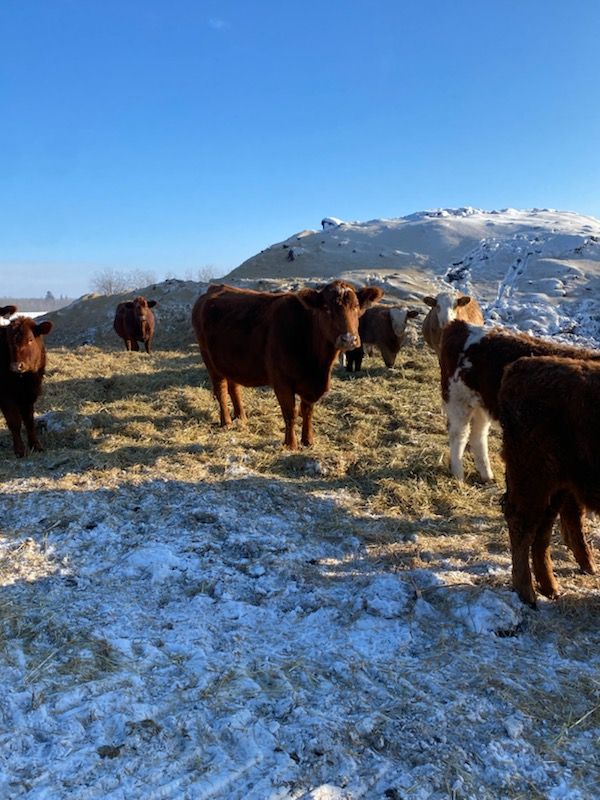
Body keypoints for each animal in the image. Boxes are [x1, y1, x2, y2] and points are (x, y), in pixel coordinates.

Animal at [0, 316, 53, 457]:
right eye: (8, 342)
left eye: (30, 339)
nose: (16, 366)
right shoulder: (6, 397)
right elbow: (15, 423)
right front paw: (19, 450)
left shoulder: (29, 395)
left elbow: (29, 421)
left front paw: (36, 445)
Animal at [192, 280, 383, 449]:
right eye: (326, 308)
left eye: (356, 306)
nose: (349, 339)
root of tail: (215, 288)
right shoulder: (282, 382)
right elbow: (290, 413)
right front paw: (291, 444)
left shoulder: (311, 386)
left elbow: (307, 411)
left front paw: (308, 440)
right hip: (209, 360)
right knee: (221, 390)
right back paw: (226, 422)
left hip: (231, 363)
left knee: (234, 387)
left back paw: (241, 416)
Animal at [439, 321, 600, 483]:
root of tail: (461, 325)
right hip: (458, 399)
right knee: (459, 434)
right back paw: (458, 476)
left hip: (482, 404)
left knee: (478, 435)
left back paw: (487, 475)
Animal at [499, 356, 600, 605]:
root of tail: (520, 366)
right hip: (534, 479)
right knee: (522, 525)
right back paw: (528, 594)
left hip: (556, 487)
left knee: (542, 532)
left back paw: (550, 588)